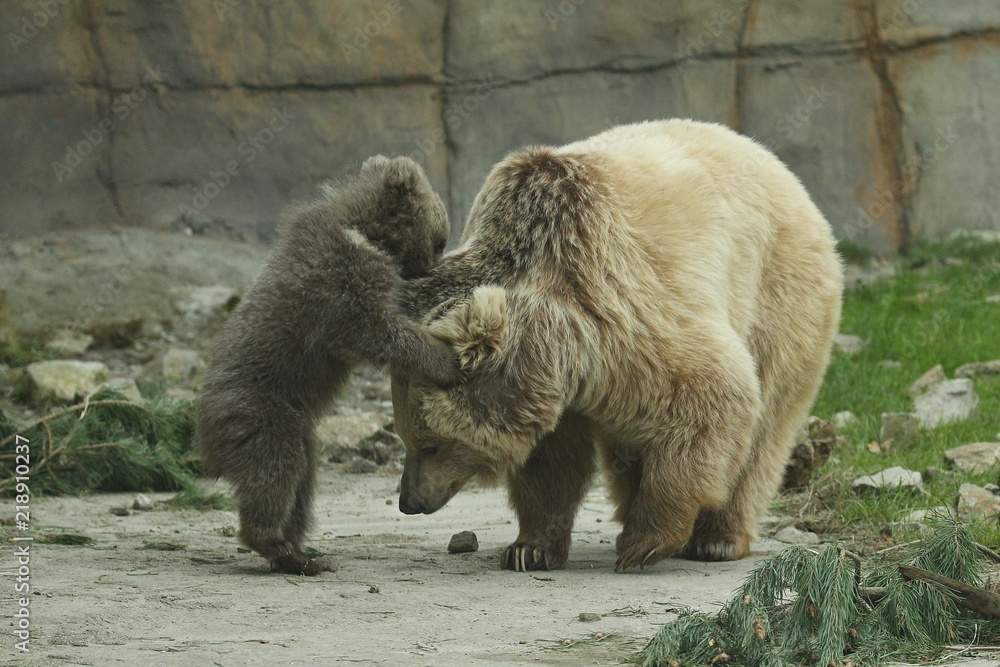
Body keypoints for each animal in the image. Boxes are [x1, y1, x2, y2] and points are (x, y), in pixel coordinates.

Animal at [197, 155, 461, 576]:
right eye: (441, 238)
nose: (434, 267)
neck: (364, 231)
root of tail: (205, 439)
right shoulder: (341, 287)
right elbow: (379, 332)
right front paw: (446, 357)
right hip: (262, 414)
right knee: (275, 473)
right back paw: (280, 547)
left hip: (297, 428)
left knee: (302, 484)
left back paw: (301, 551)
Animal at [390, 120, 844, 572]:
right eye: (406, 437)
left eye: (430, 444)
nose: (409, 501)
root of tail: (775, 164)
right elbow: (550, 462)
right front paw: (529, 548)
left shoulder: (623, 311)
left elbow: (712, 396)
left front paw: (646, 541)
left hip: (779, 295)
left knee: (764, 426)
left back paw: (718, 538)